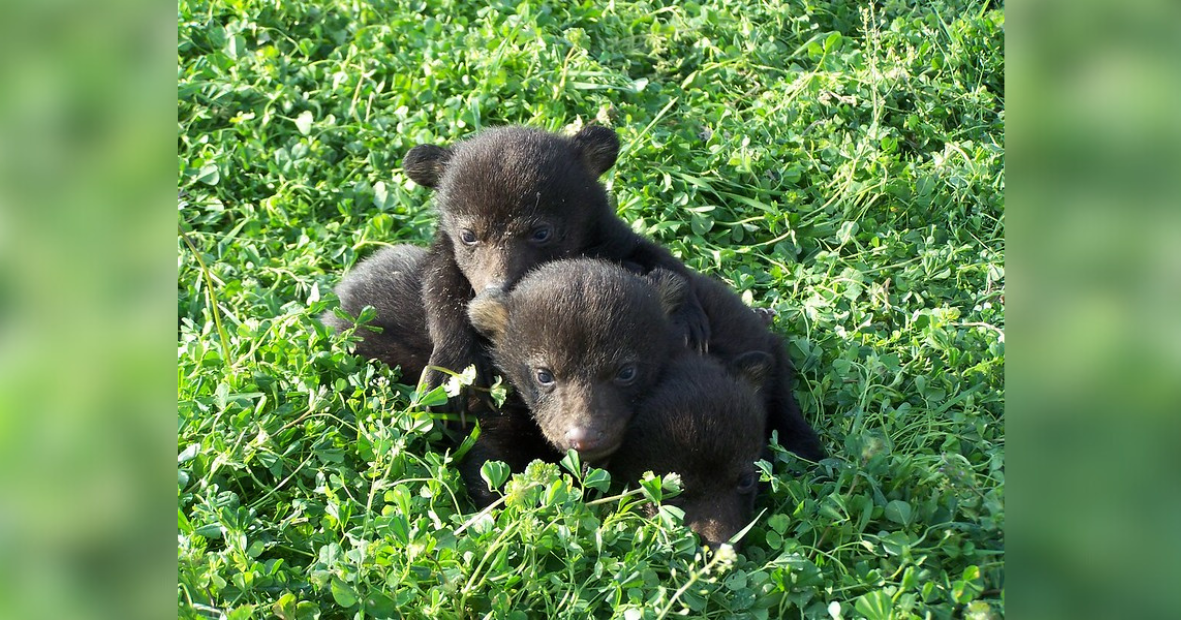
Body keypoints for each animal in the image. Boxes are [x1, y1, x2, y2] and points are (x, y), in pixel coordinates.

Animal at [401, 125, 710, 417]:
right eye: (468, 235)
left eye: (541, 232)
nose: (496, 289)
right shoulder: (447, 257)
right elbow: (440, 288)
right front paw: (449, 374)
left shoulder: (607, 236)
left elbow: (653, 255)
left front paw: (690, 321)